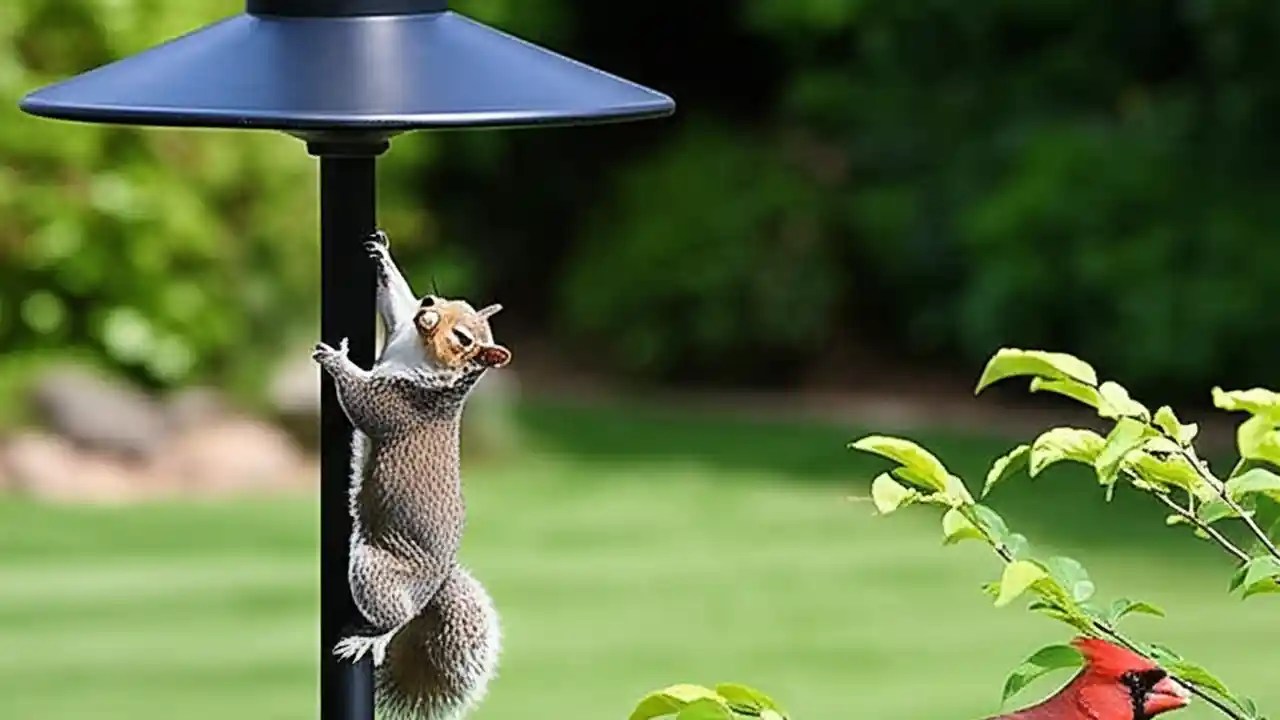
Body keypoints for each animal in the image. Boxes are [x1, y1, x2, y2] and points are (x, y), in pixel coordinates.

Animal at [312, 229, 511, 720]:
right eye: (446, 299)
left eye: (463, 338)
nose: (428, 304)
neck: (418, 352)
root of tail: (431, 588)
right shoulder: (401, 327)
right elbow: (395, 305)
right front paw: (383, 256)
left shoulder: (398, 405)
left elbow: (362, 401)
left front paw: (337, 360)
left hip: (375, 569)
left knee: (393, 617)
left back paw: (370, 640)